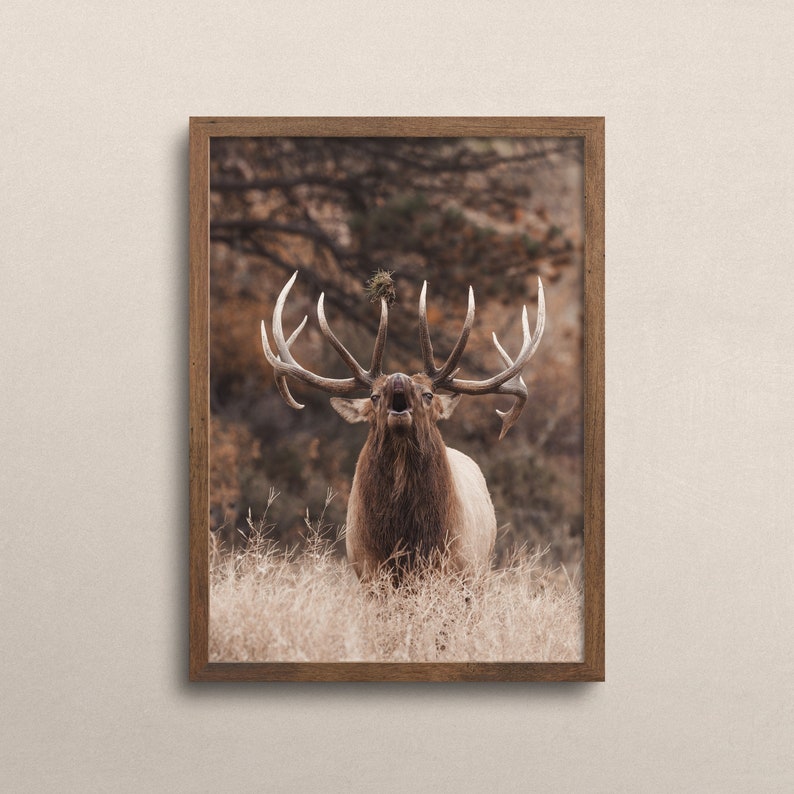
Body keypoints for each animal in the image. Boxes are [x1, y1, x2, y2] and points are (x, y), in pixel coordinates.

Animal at [260, 271, 545, 583]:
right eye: (374, 396)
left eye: (428, 394)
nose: (398, 378)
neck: (407, 540)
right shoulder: (368, 572)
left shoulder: (456, 569)